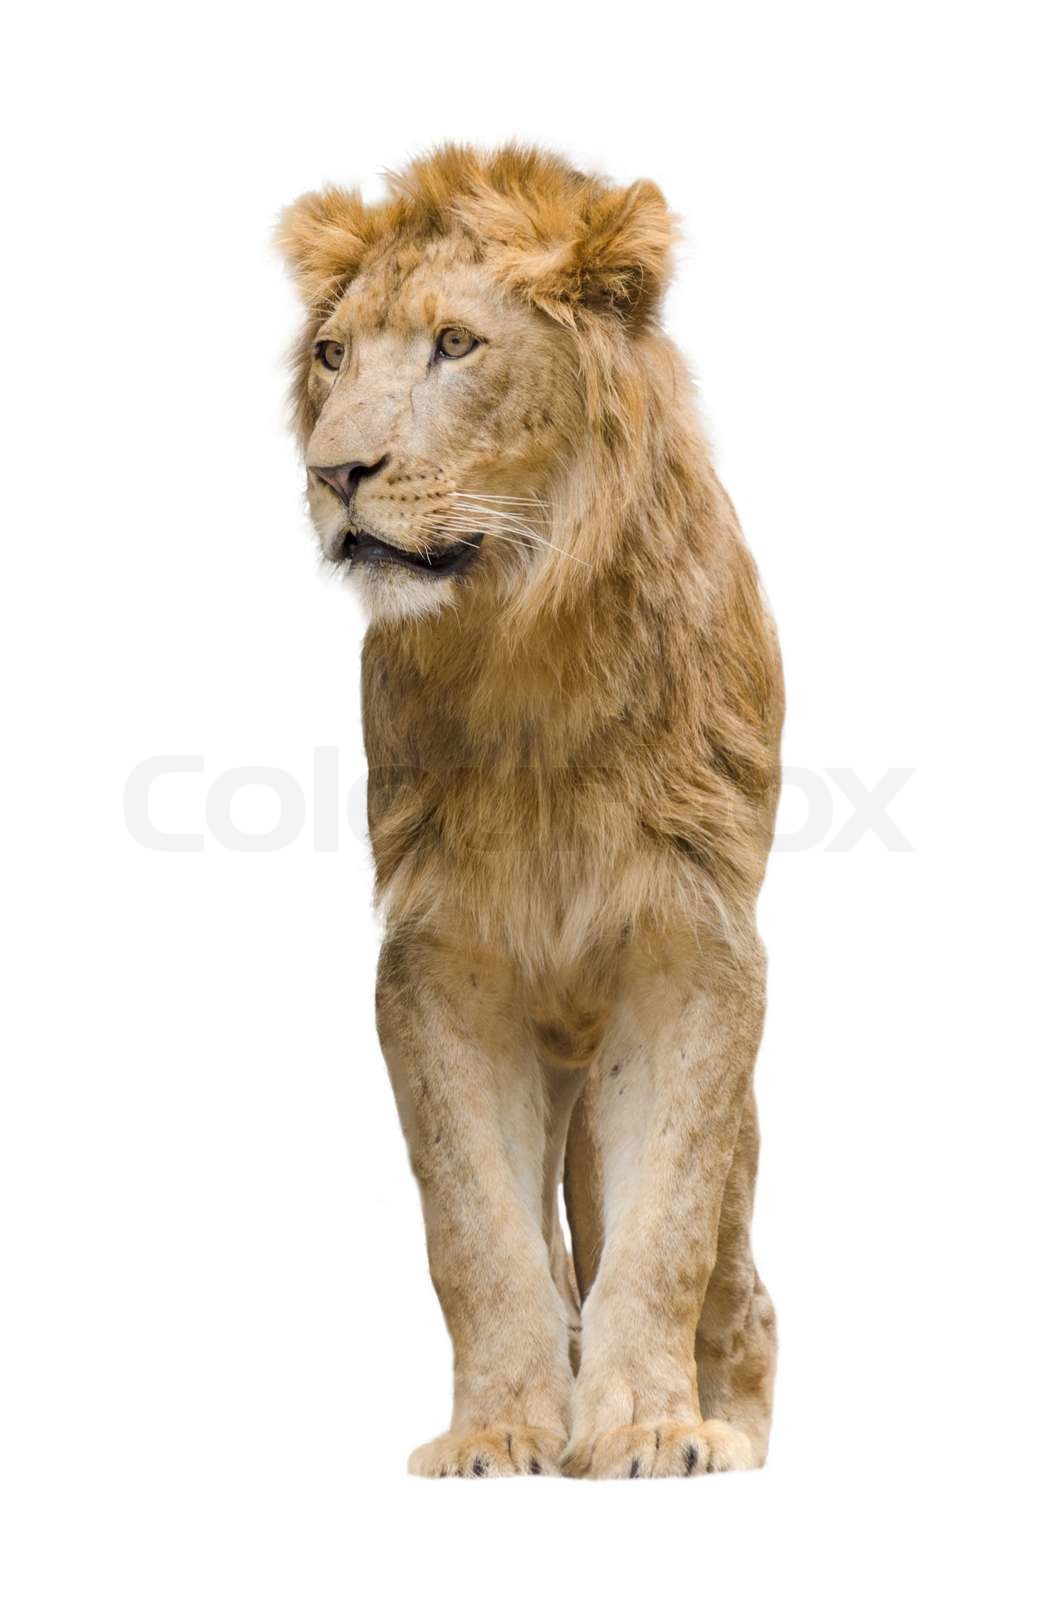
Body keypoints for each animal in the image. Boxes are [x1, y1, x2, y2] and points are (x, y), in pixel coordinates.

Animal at [277, 144, 783, 1478]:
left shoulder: (696, 936)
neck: (523, 640)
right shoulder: (434, 952)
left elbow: (666, 1225)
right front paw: (498, 1429)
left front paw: (654, 1425)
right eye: (332, 354)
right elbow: (473, 1228)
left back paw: (732, 1419)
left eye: (457, 344)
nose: (333, 473)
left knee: (734, 1275)